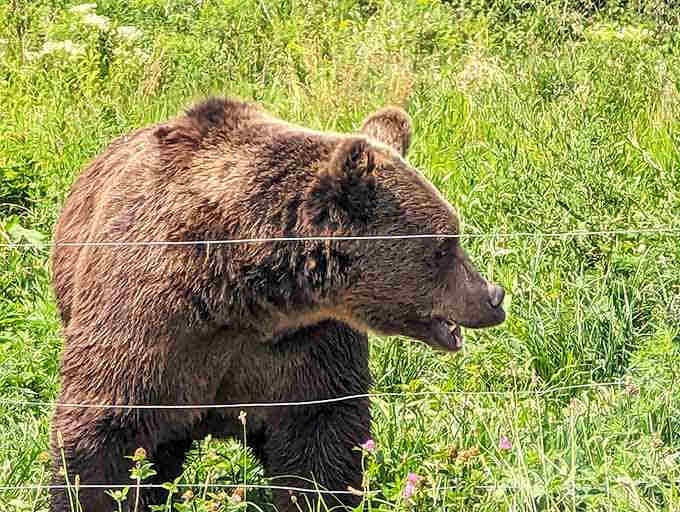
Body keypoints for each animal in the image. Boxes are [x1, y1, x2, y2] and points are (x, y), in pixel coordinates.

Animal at [50, 97, 506, 512]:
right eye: (445, 245)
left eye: (452, 235)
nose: (493, 296)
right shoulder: (153, 323)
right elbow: (107, 432)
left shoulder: (304, 348)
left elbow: (320, 438)